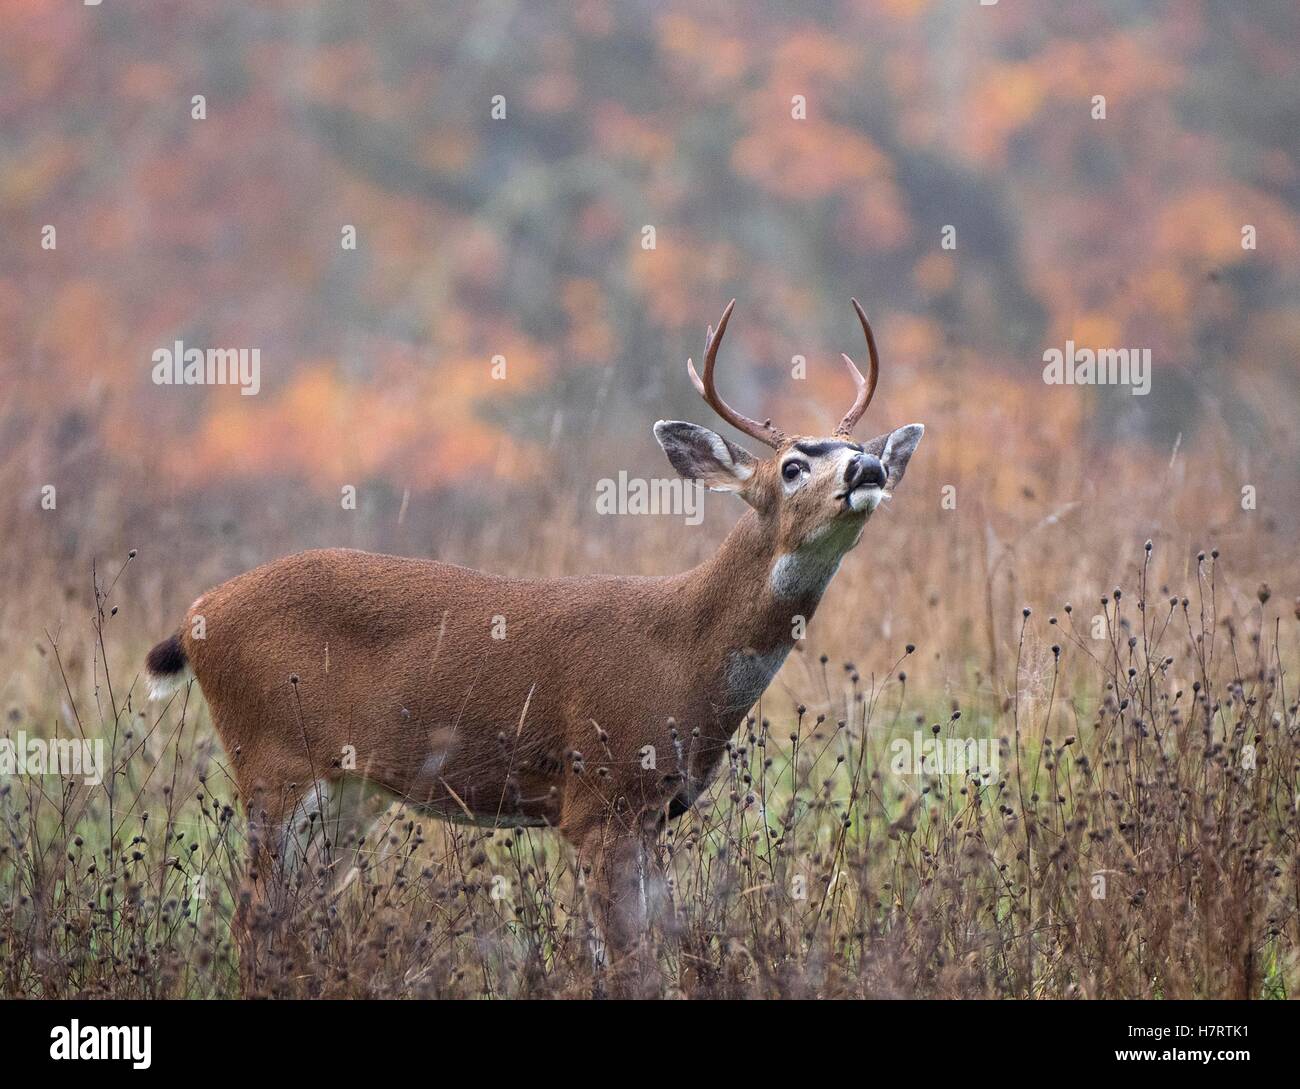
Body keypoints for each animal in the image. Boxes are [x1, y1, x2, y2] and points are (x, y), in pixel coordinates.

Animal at [143, 299, 923, 996]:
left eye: (859, 449)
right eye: (793, 465)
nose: (868, 471)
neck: (683, 654)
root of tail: (196, 617)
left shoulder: (650, 812)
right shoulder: (600, 797)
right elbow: (632, 965)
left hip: (348, 789)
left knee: (289, 914)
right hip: (270, 760)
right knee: (252, 917)